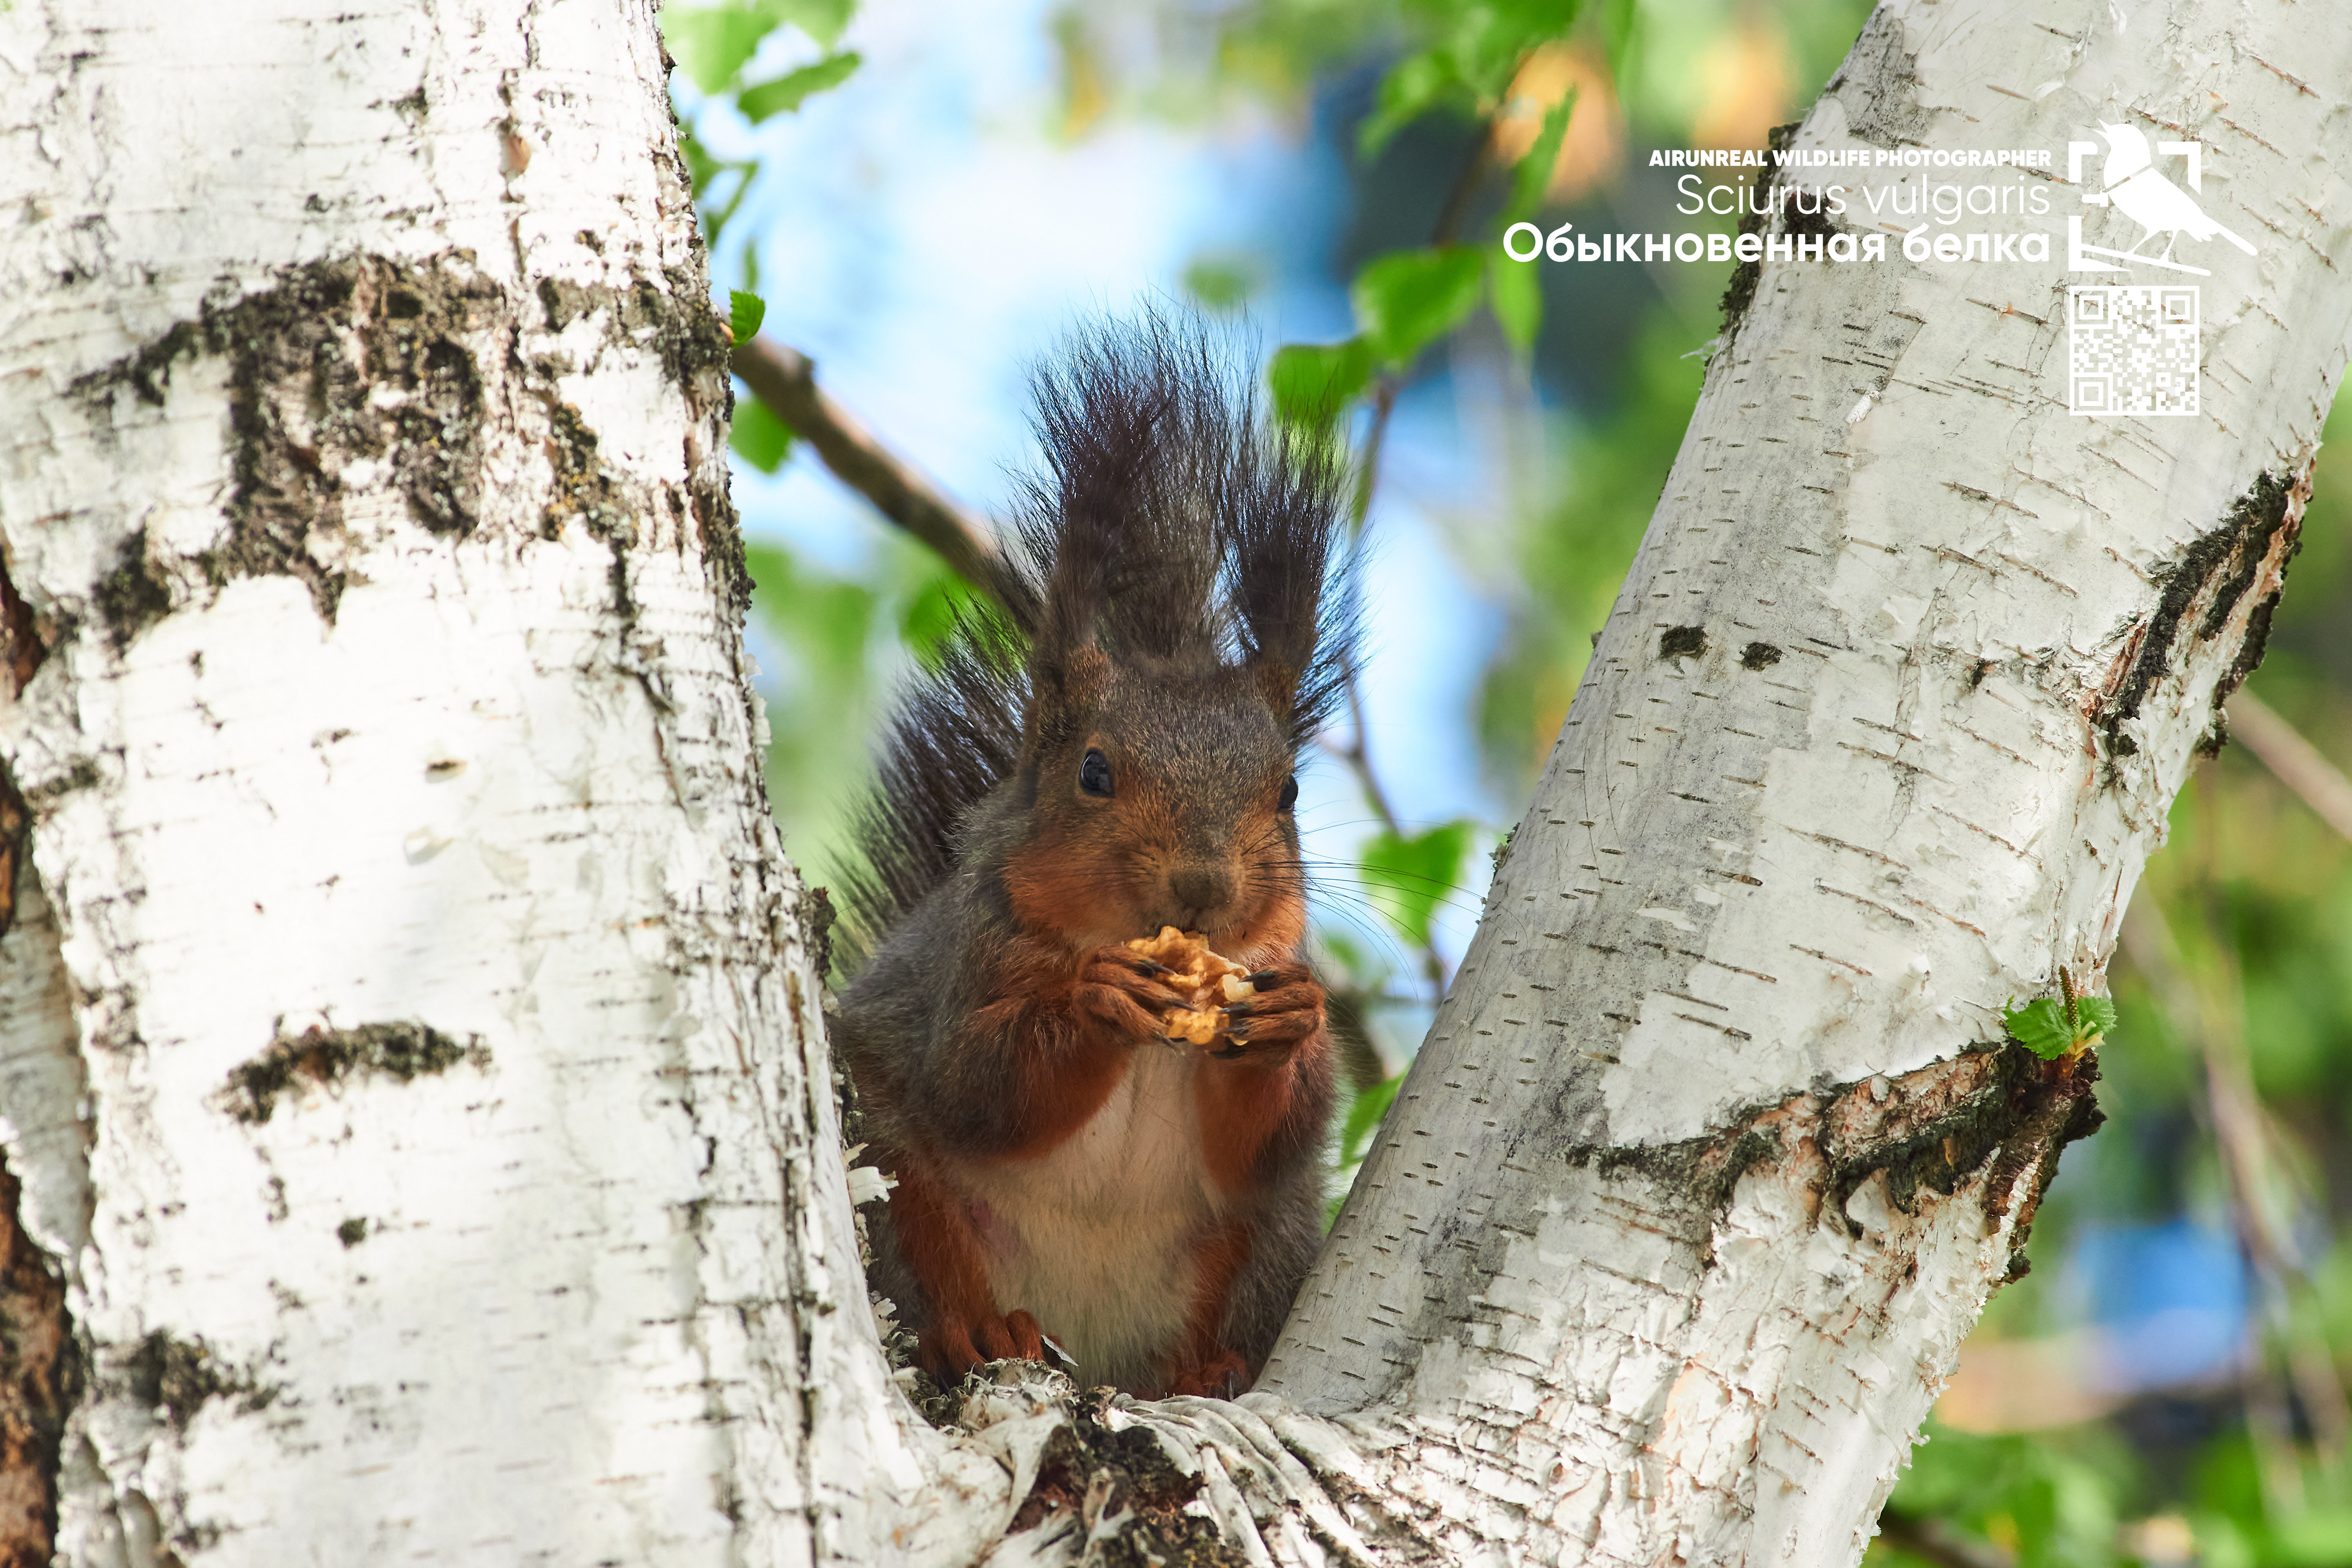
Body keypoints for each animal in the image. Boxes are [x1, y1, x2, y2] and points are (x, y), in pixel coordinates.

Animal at [837, 320, 1364, 1401]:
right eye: (1093, 772)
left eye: (1289, 792)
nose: (1202, 889)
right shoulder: (970, 964)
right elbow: (981, 1085)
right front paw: (1100, 1001)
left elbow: (1271, 1138)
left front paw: (1289, 1023)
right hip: (900, 1193)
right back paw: (976, 1335)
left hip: (1265, 1242)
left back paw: (1209, 1368)